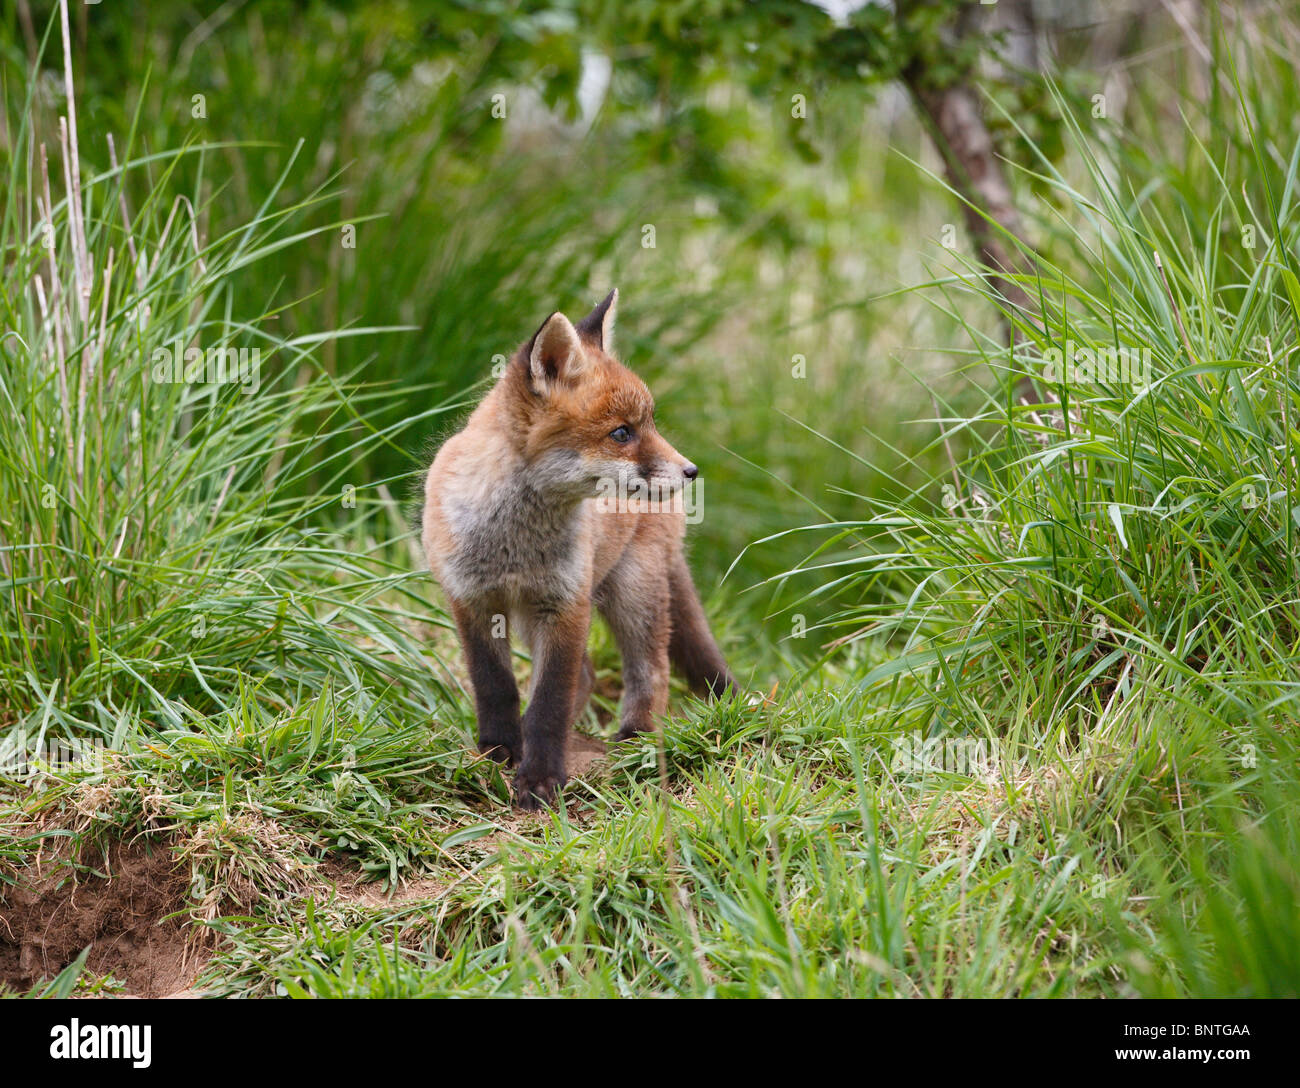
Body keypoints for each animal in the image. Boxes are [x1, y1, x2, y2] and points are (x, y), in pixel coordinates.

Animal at [422, 288, 734, 810]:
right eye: (622, 433)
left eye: (649, 423)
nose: (691, 471)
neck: (515, 541)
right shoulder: (472, 599)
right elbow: (496, 686)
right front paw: (498, 750)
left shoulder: (566, 603)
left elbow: (550, 700)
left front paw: (541, 779)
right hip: (539, 615)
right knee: (587, 676)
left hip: (632, 589)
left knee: (650, 670)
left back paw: (635, 737)